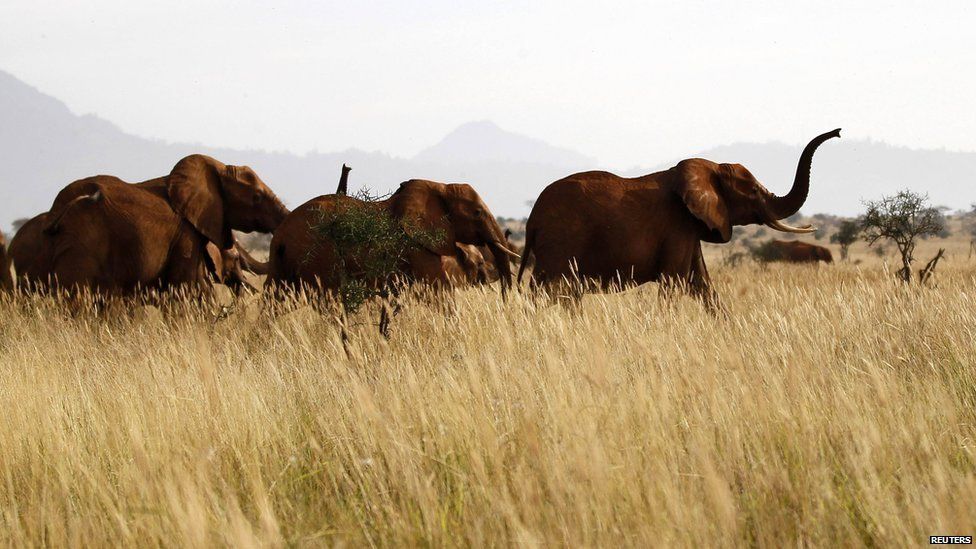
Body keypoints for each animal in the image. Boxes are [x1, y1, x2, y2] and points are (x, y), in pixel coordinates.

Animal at [15, 155, 288, 294]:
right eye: (257, 197)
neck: (216, 168)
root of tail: (56, 210)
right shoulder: (185, 235)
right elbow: (189, 289)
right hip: (83, 244)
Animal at [266, 179, 519, 293]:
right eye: (477, 213)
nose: (505, 297)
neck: (440, 186)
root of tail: (279, 236)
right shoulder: (417, 246)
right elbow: (438, 291)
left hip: (282, 263)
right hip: (319, 255)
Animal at [518, 129, 841, 306]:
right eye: (751, 191)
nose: (838, 132)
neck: (709, 169)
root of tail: (533, 218)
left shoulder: (691, 227)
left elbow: (703, 284)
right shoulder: (676, 226)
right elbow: (674, 283)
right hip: (561, 242)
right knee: (555, 292)